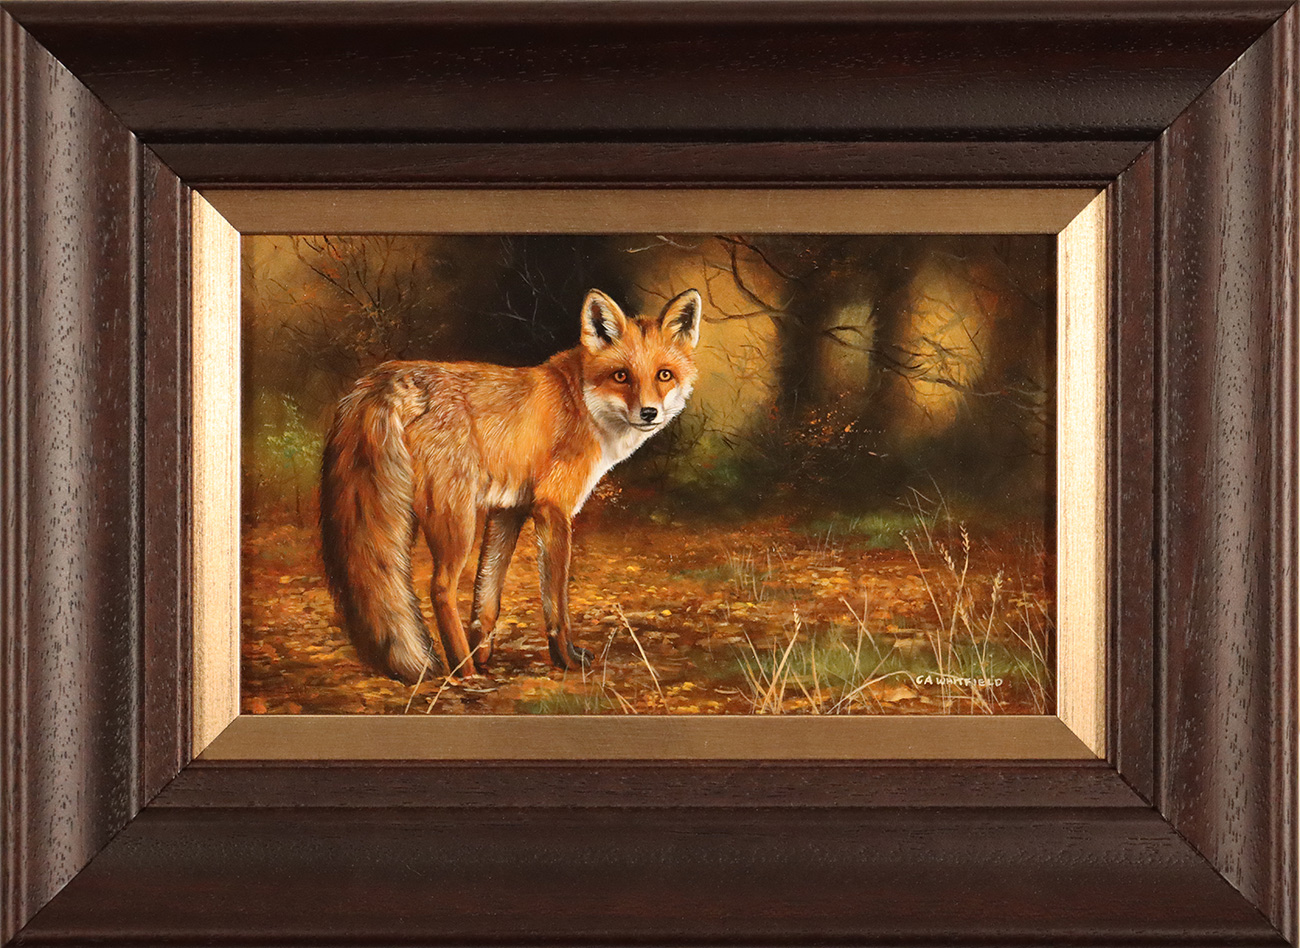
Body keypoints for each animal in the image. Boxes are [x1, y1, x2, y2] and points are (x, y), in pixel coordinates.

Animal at [319, 288, 703, 683]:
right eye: (621, 376)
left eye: (664, 375)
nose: (649, 413)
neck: (581, 403)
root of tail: (387, 378)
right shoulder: (551, 507)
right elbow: (556, 602)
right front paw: (565, 658)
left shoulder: (509, 510)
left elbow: (486, 599)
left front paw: (484, 652)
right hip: (456, 520)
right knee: (440, 587)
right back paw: (464, 671)